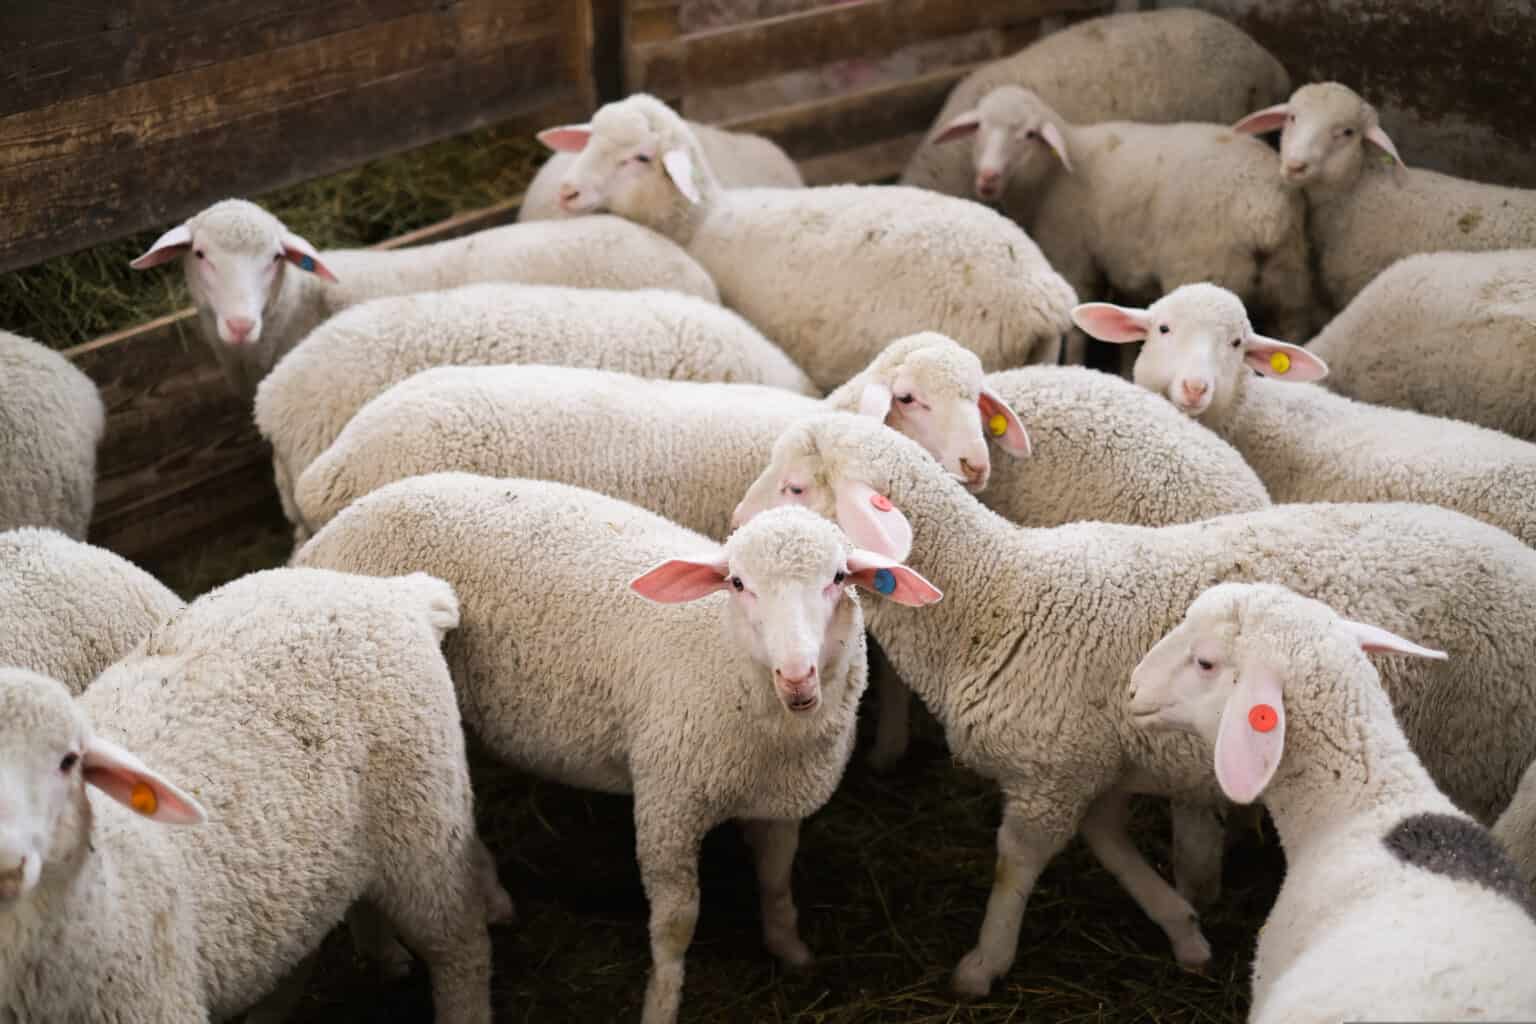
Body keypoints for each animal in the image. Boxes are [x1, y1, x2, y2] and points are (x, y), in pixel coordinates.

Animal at [291, 474, 941, 1024]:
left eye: (838, 579)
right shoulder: (668, 800)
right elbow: (676, 926)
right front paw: (660, 1006)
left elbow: (777, 879)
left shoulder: (780, 800)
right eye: (737, 584)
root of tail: (327, 536)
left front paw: (792, 950)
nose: (797, 675)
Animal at [925, 86, 1316, 360]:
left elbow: (1079, 331)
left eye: (1028, 135)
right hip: (1289, 280)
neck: (1054, 175)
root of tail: (1263, 209)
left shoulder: (1075, 260)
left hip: (1207, 268)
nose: (987, 178)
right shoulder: (1128, 269)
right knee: (1295, 331)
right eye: (979, 128)